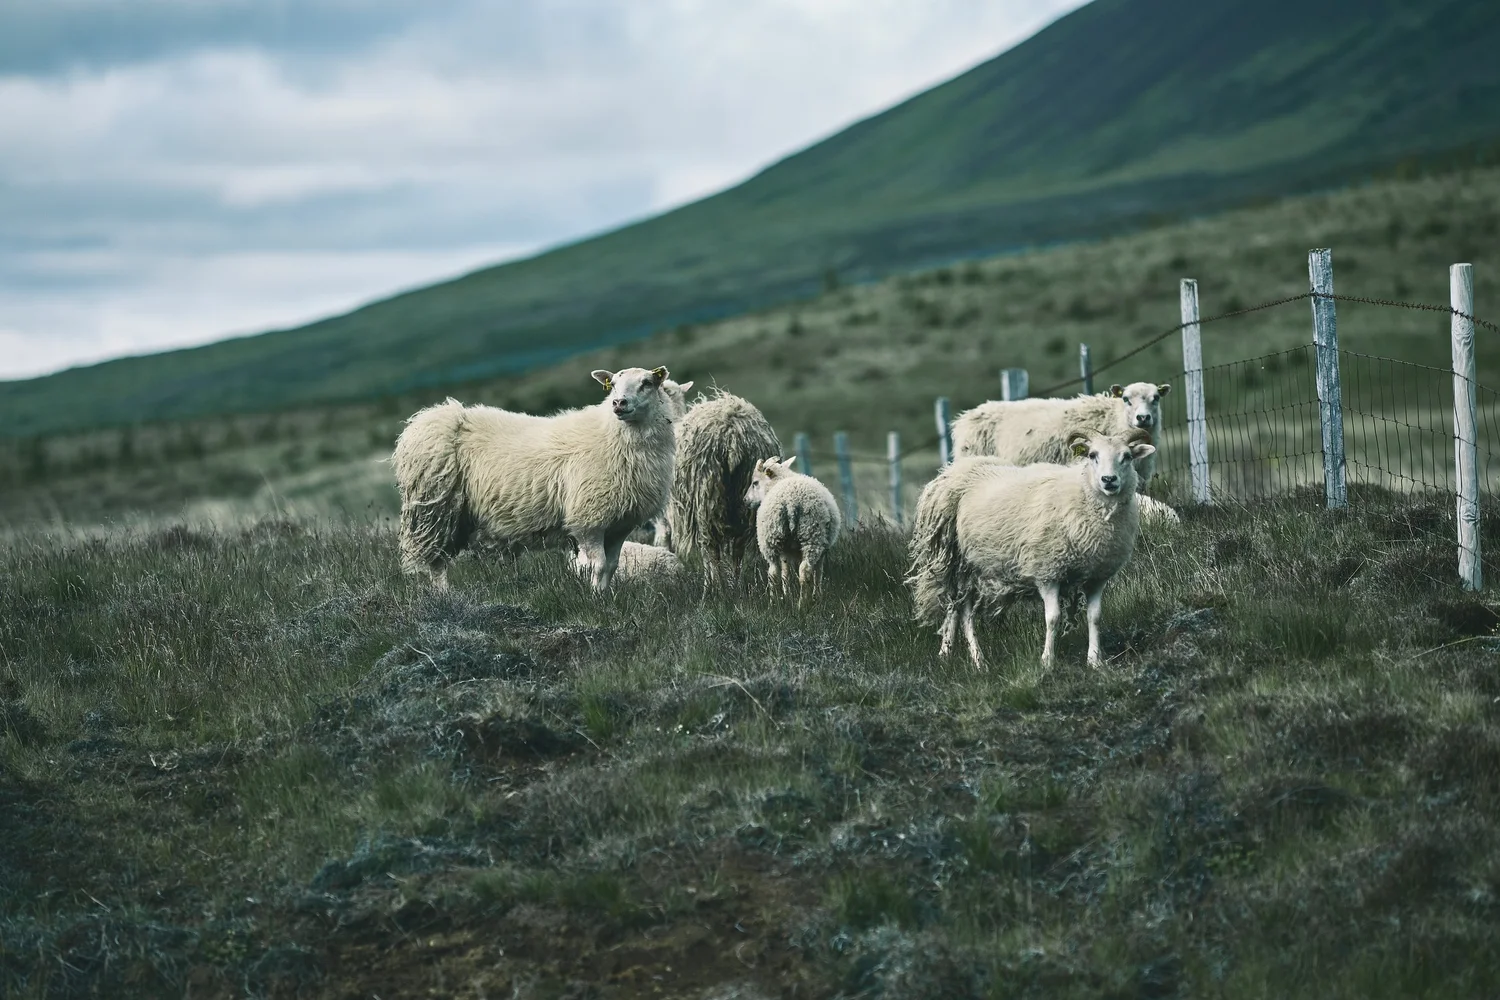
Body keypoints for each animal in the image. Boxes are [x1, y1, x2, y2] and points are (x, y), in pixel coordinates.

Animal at [392, 365, 677, 592]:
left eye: (647, 383)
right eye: (613, 385)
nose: (619, 403)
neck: (612, 435)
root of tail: (437, 416)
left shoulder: (619, 524)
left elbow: (612, 566)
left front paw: (607, 596)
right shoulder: (589, 520)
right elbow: (598, 566)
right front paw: (596, 599)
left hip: (458, 516)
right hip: (435, 511)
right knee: (436, 561)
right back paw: (444, 596)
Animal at [667, 390, 781, 582]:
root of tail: (733, 438)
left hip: (705, 494)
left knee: (710, 548)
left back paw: (715, 585)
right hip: (747, 493)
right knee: (738, 547)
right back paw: (735, 583)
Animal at [746, 456, 841, 604]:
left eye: (755, 482)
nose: (745, 500)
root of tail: (790, 501)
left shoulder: (786, 548)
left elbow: (786, 571)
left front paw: (787, 594)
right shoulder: (823, 548)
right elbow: (818, 571)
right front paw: (817, 595)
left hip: (771, 537)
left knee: (774, 572)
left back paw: (776, 602)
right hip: (812, 535)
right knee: (804, 569)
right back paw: (803, 603)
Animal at [907, 428, 1155, 668]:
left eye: (1127, 456)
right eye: (1093, 455)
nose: (1109, 480)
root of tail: (953, 469)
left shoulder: (1097, 576)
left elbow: (1094, 617)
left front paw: (1094, 661)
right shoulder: (1047, 571)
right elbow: (1053, 618)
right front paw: (1047, 661)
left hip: (970, 565)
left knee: (956, 606)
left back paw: (947, 652)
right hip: (954, 558)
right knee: (962, 610)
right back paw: (977, 660)